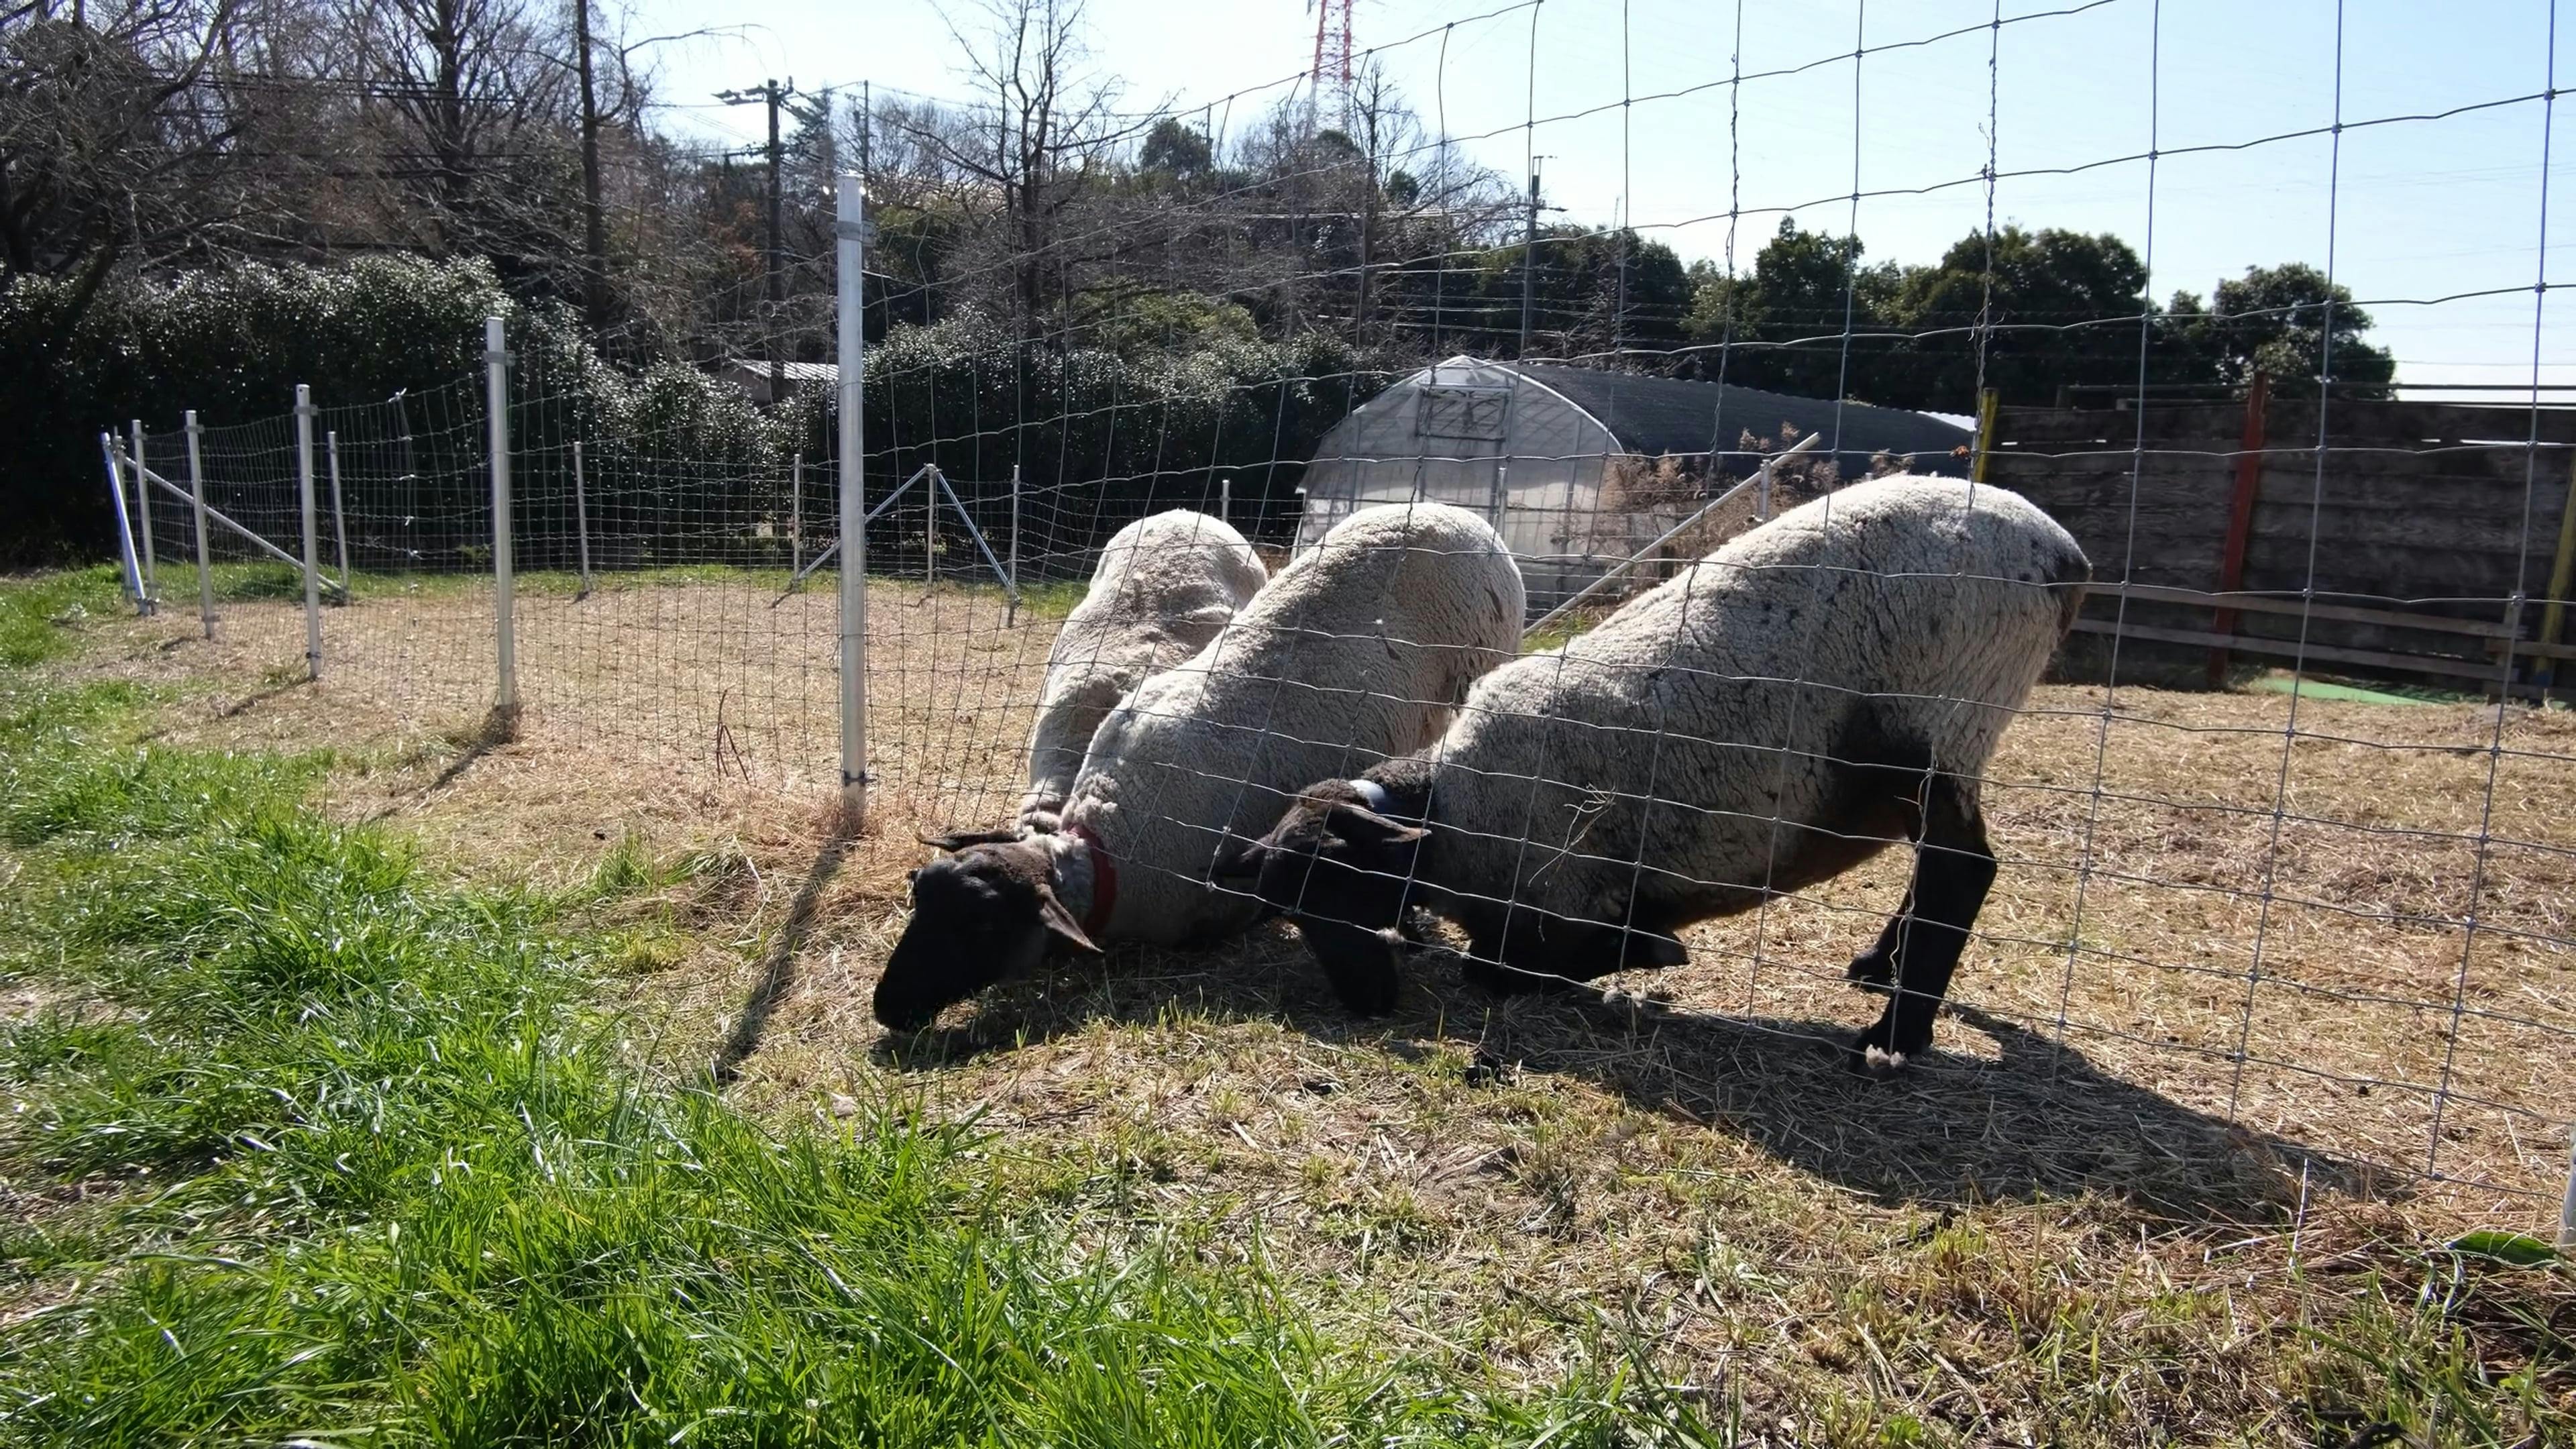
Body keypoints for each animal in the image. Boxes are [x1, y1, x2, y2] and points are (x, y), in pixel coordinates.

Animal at [1213, 476, 2090, 1073]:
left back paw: (1893, 1040)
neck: (1449, 815)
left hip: (1939, 719)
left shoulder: (1565, 895)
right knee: (1940, 867)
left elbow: (1502, 968)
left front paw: (1650, 954)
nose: (1366, 1004)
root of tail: (2060, 553)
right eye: (1290, 908)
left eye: (1337, 886)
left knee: (1960, 872)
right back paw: (1880, 971)